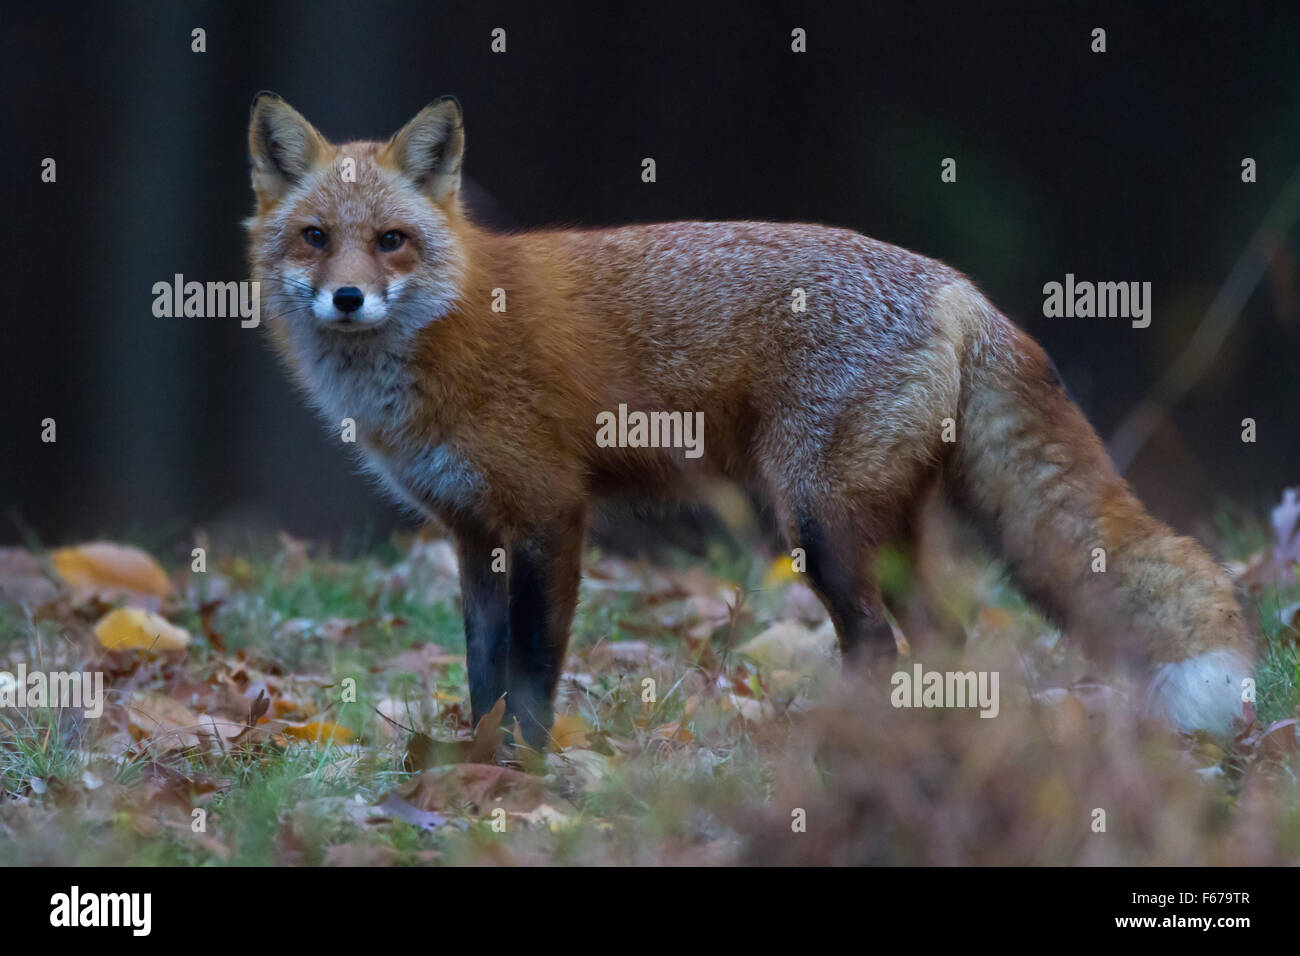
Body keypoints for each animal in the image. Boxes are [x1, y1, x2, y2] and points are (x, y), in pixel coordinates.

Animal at [245, 91, 1258, 749]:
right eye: (314, 238)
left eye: (391, 242)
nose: (345, 299)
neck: (448, 332)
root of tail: (962, 289)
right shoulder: (472, 533)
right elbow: (484, 674)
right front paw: (474, 770)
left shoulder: (548, 515)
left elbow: (532, 674)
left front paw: (522, 778)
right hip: (890, 529)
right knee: (948, 639)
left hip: (818, 520)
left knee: (877, 645)